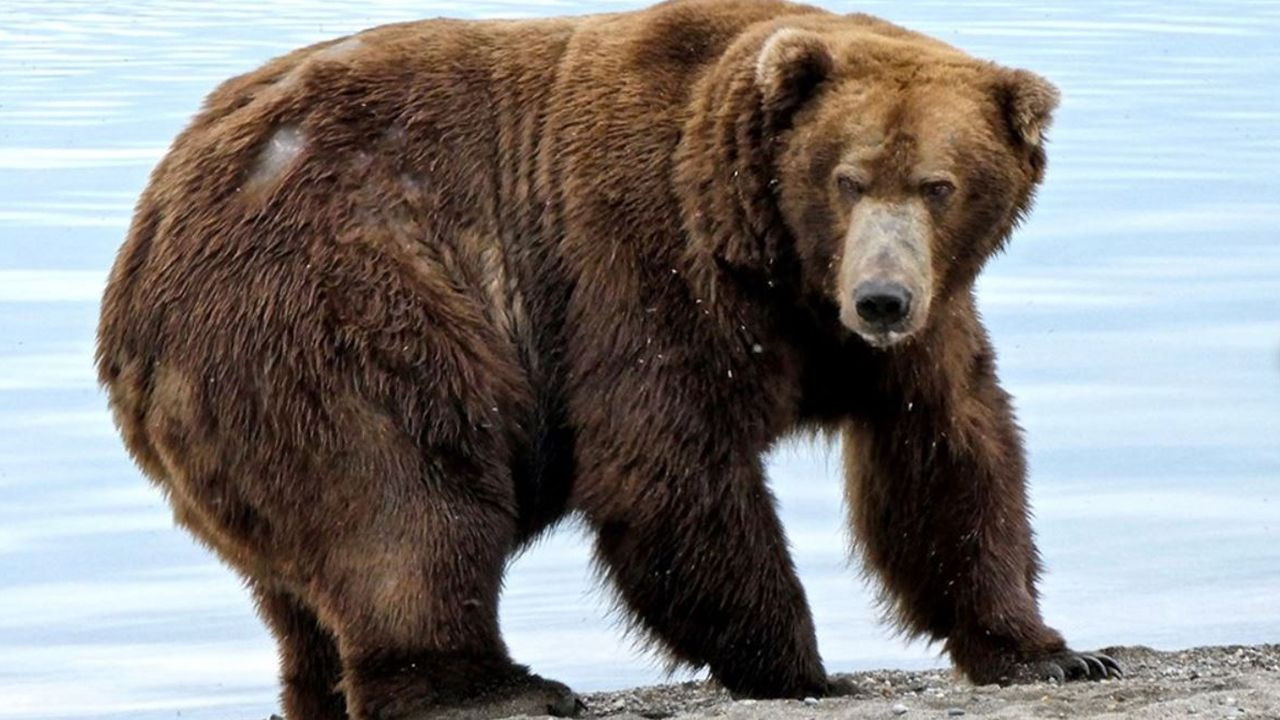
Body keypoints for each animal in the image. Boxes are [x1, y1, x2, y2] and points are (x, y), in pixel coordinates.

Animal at [96, 1, 1120, 718]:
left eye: (940, 184)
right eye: (849, 177)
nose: (881, 298)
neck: (778, 264)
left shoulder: (917, 326)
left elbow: (949, 457)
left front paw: (1052, 650)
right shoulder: (644, 255)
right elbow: (666, 461)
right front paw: (802, 667)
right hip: (335, 295)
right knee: (407, 493)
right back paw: (498, 687)